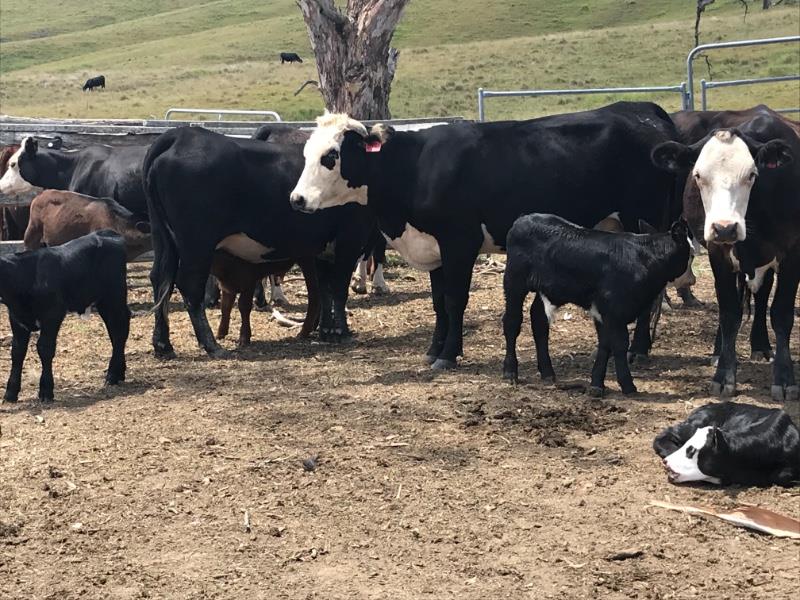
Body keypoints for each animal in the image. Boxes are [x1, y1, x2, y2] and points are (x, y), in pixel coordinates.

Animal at [0, 230, 130, 403]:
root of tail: (106, 233)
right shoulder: (16, 318)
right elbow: (17, 351)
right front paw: (10, 392)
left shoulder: (53, 314)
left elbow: (45, 348)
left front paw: (46, 391)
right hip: (104, 302)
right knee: (115, 330)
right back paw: (119, 372)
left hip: (114, 296)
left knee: (120, 330)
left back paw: (112, 375)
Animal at [143, 126, 375, 358]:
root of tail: (182, 135)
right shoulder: (349, 239)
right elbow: (338, 288)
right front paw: (342, 332)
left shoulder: (322, 246)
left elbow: (324, 289)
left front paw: (327, 331)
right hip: (197, 242)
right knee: (189, 285)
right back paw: (211, 345)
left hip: (163, 237)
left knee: (160, 279)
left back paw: (163, 345)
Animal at [288, 103, 687, 369]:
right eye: (306, 153)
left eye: (331, 155)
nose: (297, 199)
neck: (414, 165)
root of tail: (642, 112)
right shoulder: (435, 247)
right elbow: (438, 303)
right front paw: (434, 349)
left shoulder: (459, 243)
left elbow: (455, 301)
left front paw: (449, 354)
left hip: (645, 221)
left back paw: (638, 349)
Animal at [502, 214, 691, 395]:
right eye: (690, 254)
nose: (689, 279)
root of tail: (524, 219)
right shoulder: (613, 310)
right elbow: (619, 344)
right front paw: (627, 385)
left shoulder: (607, 313)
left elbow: (605, 345)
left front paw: (597, 384)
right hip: (514, 281)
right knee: (512, 322)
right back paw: (510, 372)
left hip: (547, 290)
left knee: (539, 320)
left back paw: (547, 373)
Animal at [653, 110, 799, 402]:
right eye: (698, 175)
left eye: (752, 174)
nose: (724, 227)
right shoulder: (718, 254)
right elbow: (729, 312)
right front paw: (724, 375)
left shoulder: (793, 253)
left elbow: (781, 313)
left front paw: (785, 378)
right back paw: (720, 352)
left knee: (762, 295)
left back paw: (761, 345)